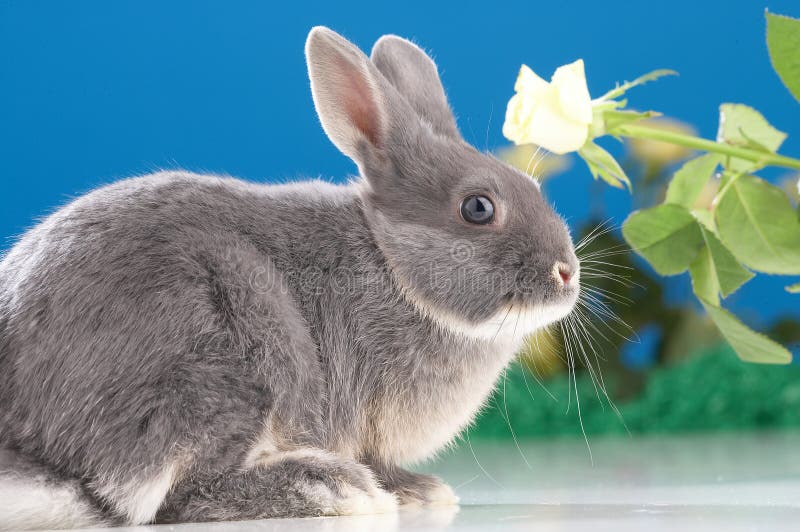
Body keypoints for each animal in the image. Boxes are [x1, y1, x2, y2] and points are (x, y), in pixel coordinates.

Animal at [0, 26, 580, 529]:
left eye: (532, 184)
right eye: (478, 207)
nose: (567, 273)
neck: (392, 264)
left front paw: (421, 491)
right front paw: (405, 490)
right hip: (233, 360)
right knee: (175, 496)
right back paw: (333, 487)